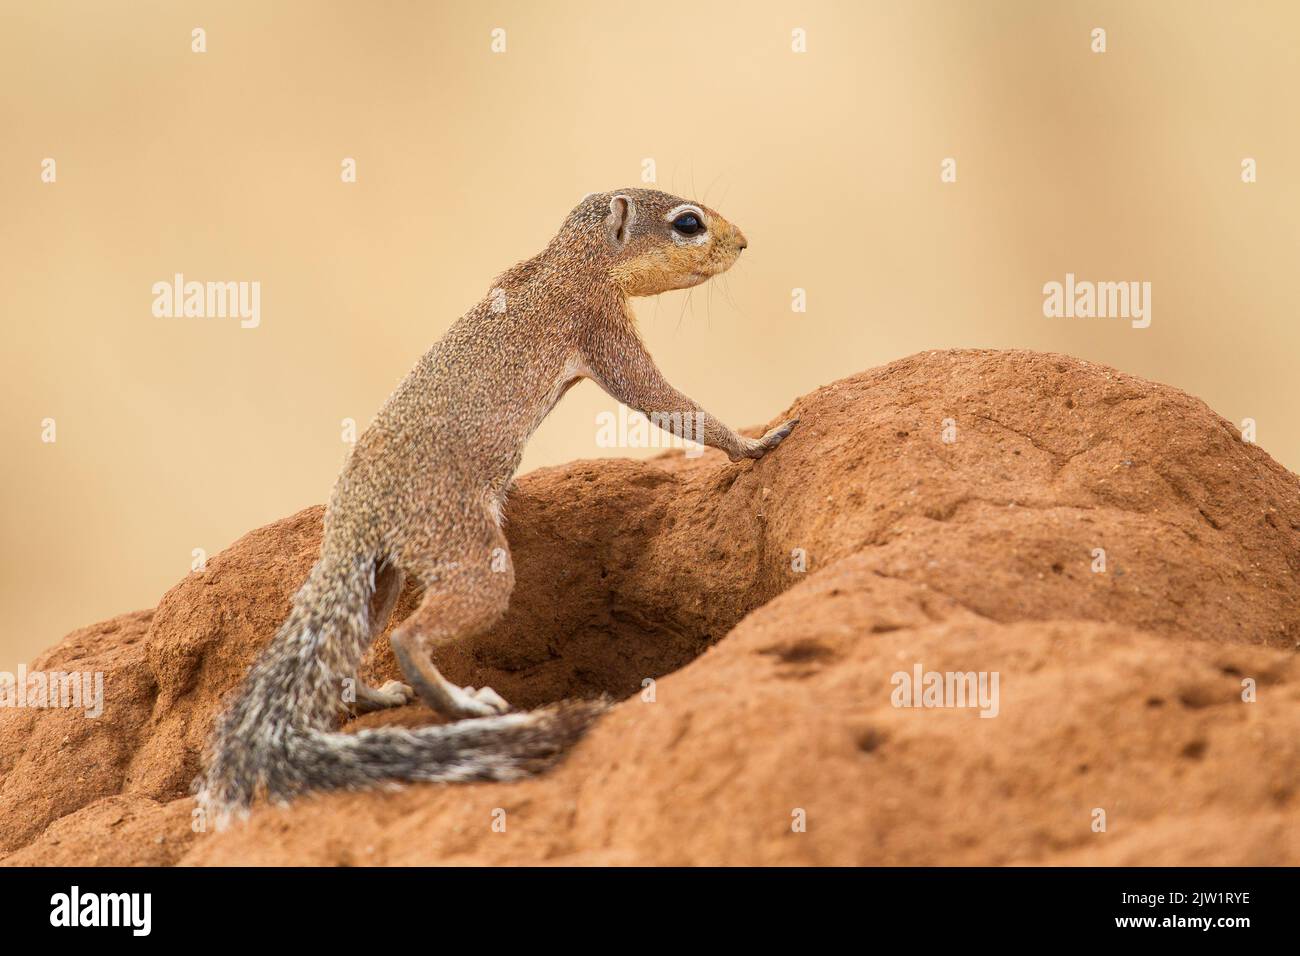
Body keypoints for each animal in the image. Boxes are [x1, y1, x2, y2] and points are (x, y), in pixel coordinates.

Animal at [196, 188, 800, 826]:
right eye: (688, 223)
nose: (743, 243)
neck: (568, 260)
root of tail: (351, 521)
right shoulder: (602, 327)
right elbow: (663, 401)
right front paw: (756, 444)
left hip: (381, 578)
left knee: (352, 646)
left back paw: (379, 694)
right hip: (471, 555)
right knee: (407, 638)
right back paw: (465, 704)